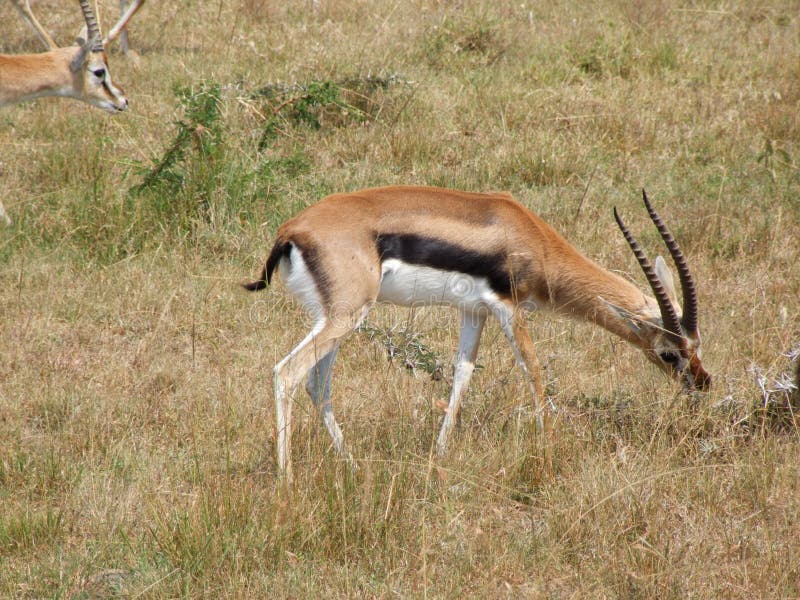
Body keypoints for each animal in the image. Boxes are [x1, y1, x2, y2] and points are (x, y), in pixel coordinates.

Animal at [244, 186, 711, 478]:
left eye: (698, 345)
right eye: (669, 352)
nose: (703, 382)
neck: (530, 237)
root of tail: (292, 231)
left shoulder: (474, 312)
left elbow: (462, 375)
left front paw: (438, 456)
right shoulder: (508, 308)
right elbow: (534, 372)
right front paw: (551, 454)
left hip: (335, 320)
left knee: (317, 383)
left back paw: (353, 466)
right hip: (345, 317)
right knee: (287, 373)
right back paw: (287, 481)